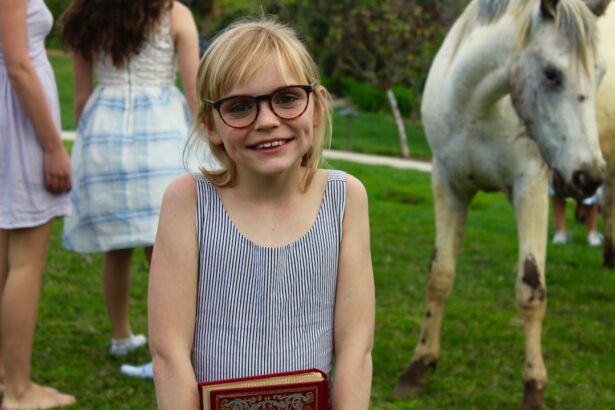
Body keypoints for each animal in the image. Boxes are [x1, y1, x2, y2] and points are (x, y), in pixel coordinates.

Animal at [394, 0, 612, 410]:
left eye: (601, 73)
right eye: (551, 74)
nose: (587, 176)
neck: (476, 107)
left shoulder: (531, 188)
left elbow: (531, 289)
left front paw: (534, 387)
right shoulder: (447, 183)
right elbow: (440, 275)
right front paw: (419, 365)